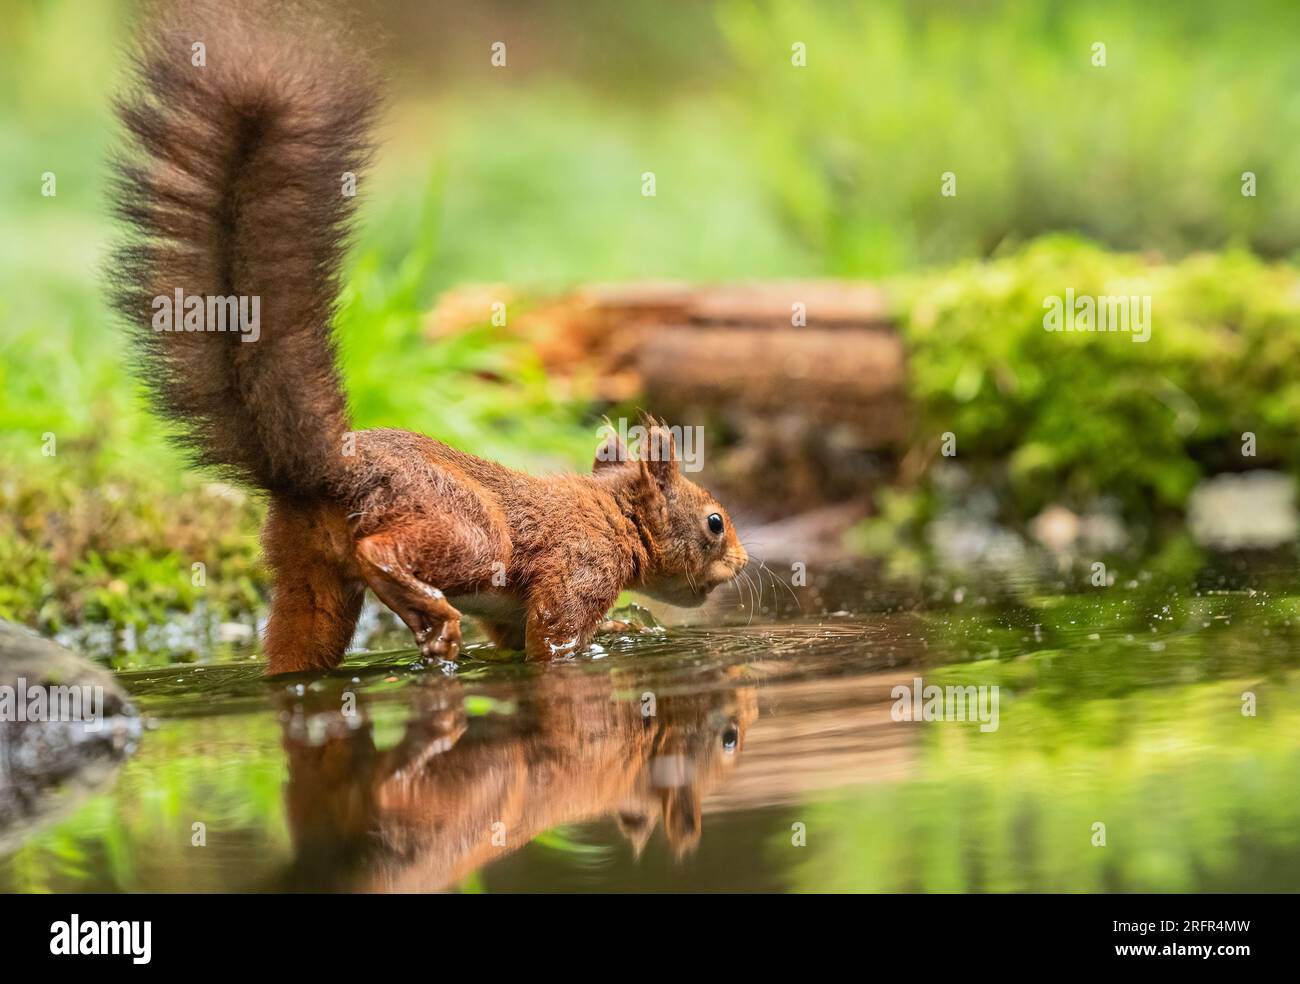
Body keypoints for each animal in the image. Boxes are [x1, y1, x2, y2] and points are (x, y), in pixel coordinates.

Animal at [109, 1, 748, 673]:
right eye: (714, 522)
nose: (742, 564)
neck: (613, 514)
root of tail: (332, 469)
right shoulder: (578, 565)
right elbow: (553, 638)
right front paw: (600, 641)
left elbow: (513, 636)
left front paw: (625, 628)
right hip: (466, 531)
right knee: (383, 553)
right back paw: (432, 617)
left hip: (309, 571)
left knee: (298, 644)